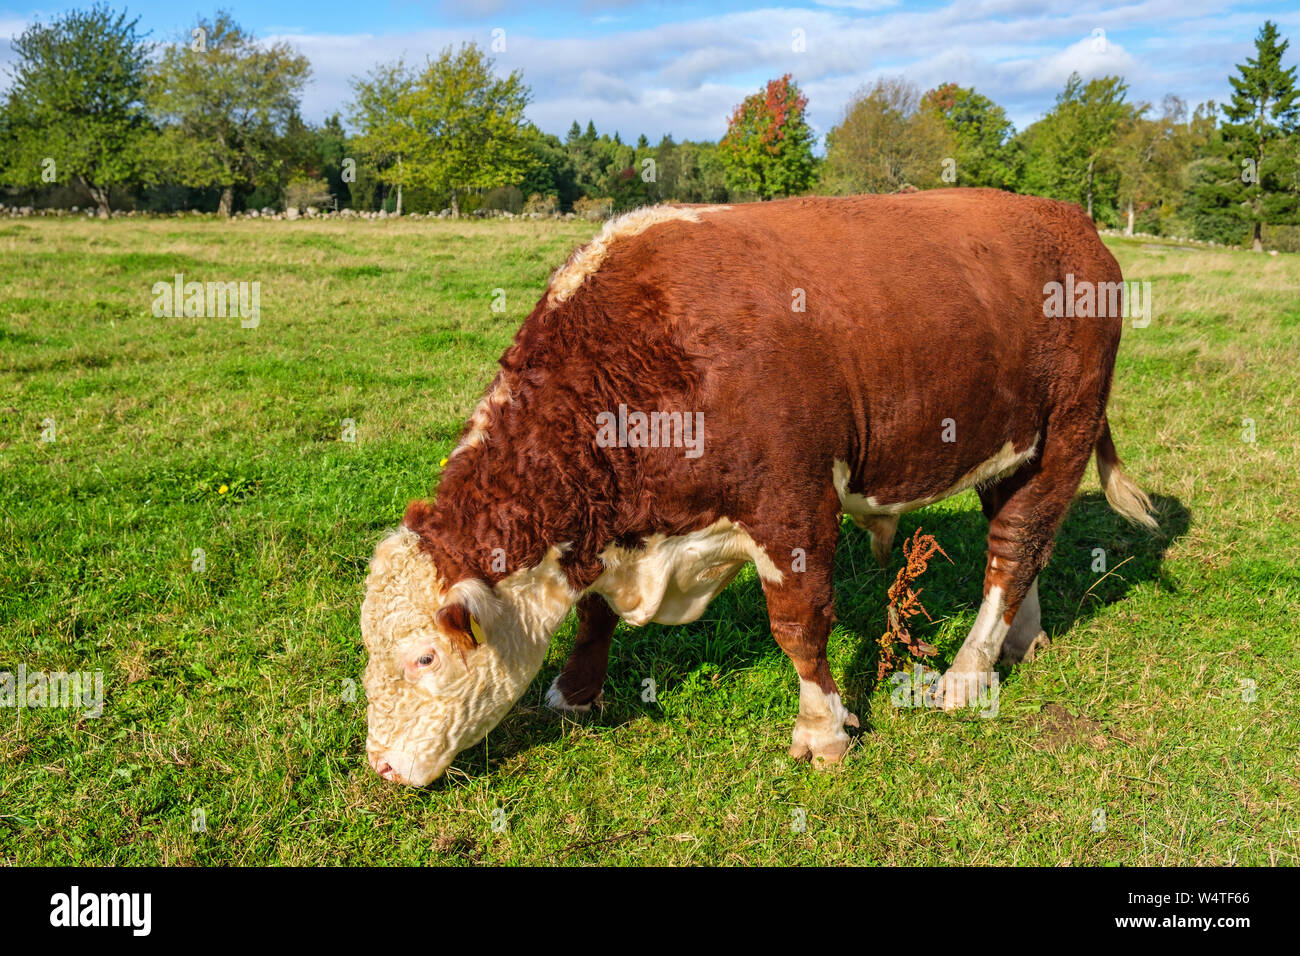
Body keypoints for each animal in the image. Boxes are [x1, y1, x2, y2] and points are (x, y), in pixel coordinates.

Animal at [361, 189, 1157, 786]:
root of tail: (1068, 218)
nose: (381, 767)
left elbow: (799, 625)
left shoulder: (793, 503)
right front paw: (574, 691)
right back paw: (1020, 639)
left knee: (1017, 544)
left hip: (1067, 426)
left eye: (424, 657)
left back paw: (966, 675)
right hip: (1010, 442)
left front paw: (824, 732)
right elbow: (593, 614)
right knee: (1023, 537)